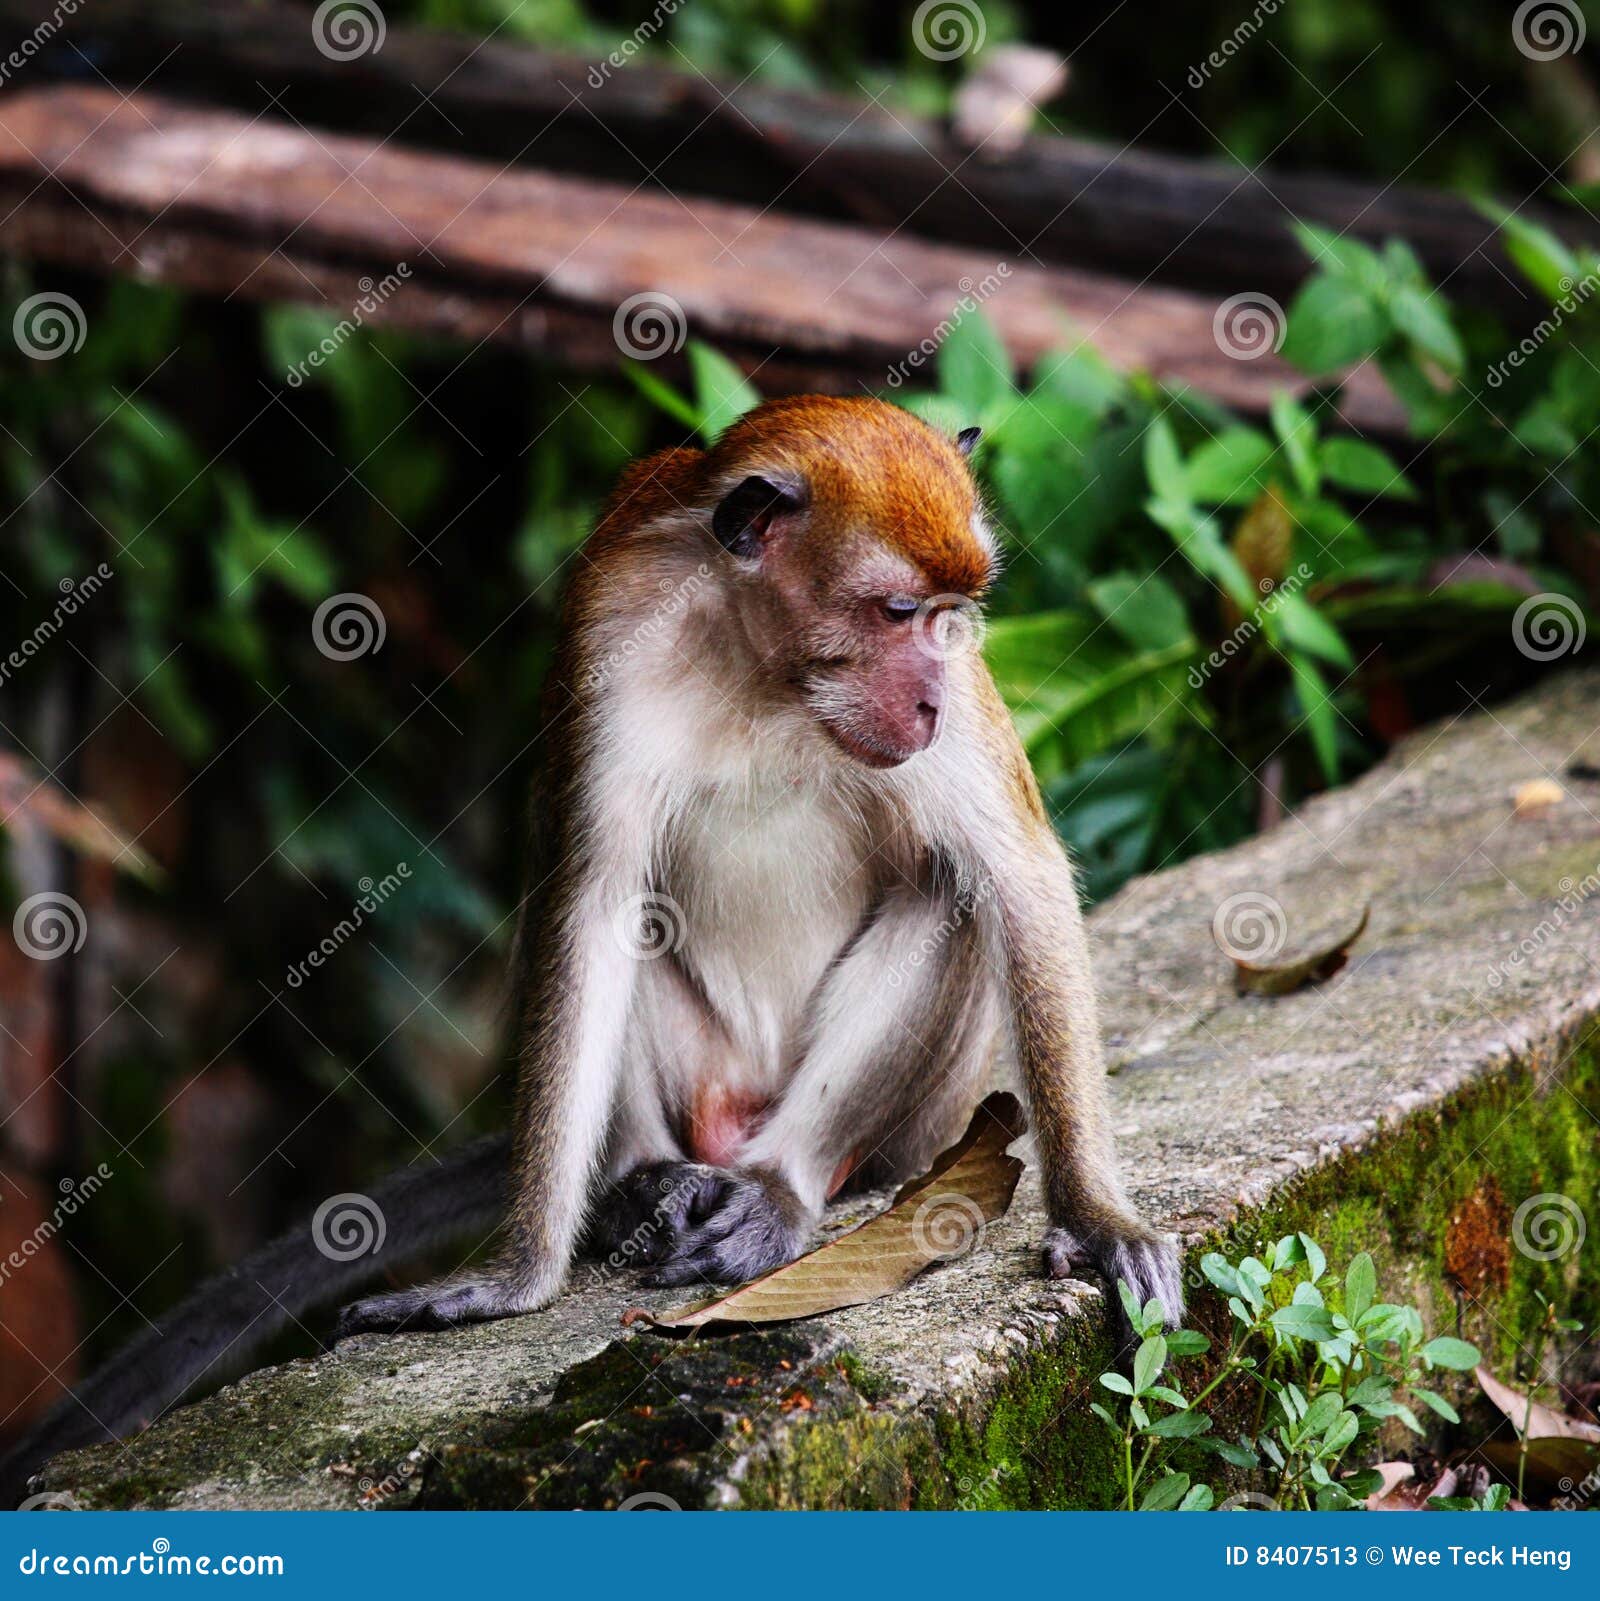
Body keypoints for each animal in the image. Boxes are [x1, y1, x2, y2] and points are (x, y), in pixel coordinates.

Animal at [1, 395, 1178, 1505]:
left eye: (952, 618)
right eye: (896, 611)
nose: (931, 695)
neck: (766, 671)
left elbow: (1016, 877)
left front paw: (1098, 1220)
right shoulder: (614, 638)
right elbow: (596, 902)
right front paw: (518, 1276)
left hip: (915, 1125)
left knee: (945, 894)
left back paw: (779, 1188)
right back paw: (639, 1182)